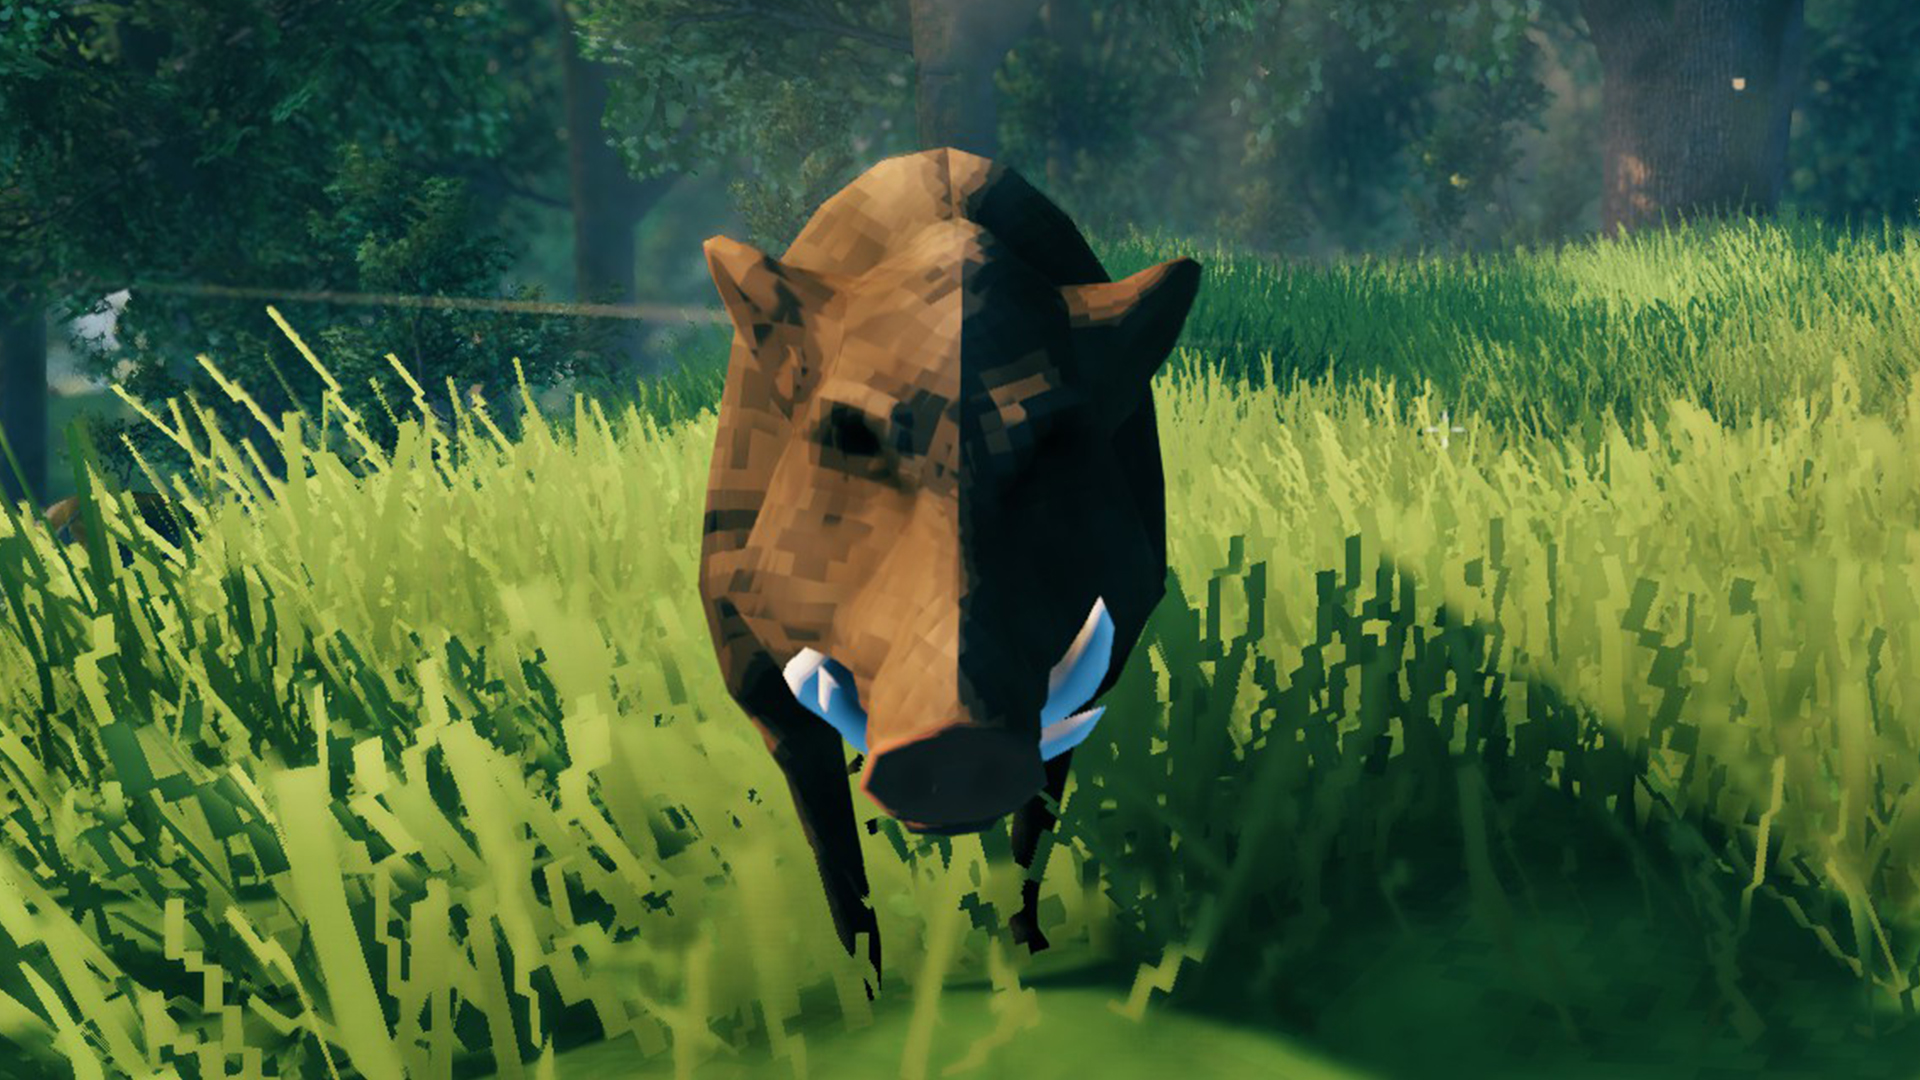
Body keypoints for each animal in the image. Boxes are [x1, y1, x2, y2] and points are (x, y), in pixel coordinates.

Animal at [698, 147, 1200, 995]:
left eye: (1055, 442)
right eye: (850, 434)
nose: (956, 740)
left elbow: (1036, 821)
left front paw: (1029, 958)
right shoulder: (752, 665)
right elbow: (829, 838)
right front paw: (865, 995)